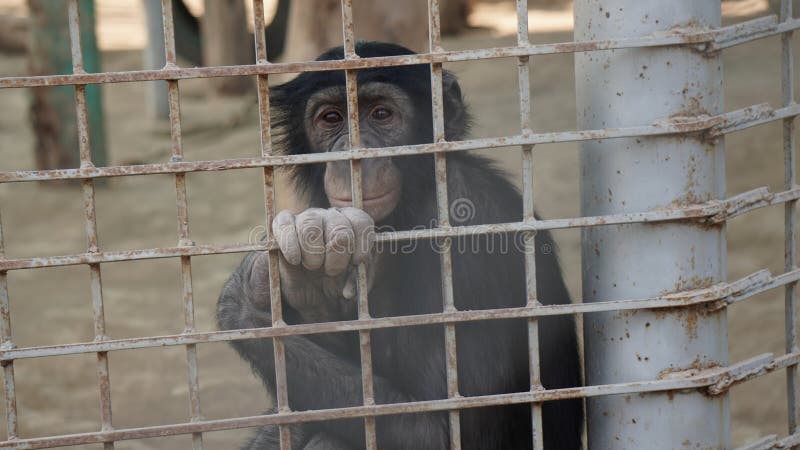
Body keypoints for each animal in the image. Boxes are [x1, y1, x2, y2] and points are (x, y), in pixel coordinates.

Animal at [217, 41, 583, 450]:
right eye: (331, 118)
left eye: (381, 114)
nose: (352, 153)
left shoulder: (468, 223)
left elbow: (442, 427)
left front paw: (247, 294)